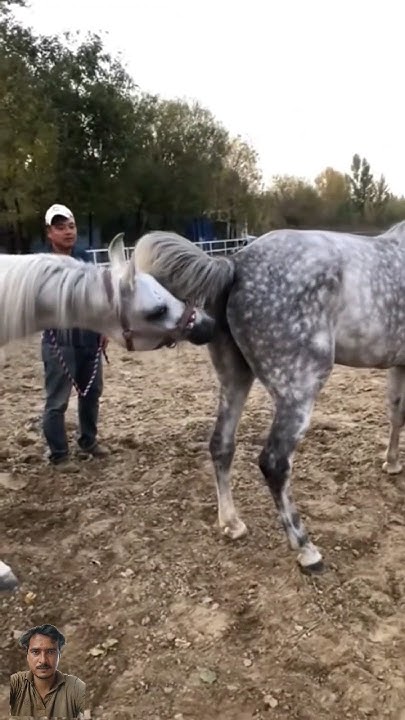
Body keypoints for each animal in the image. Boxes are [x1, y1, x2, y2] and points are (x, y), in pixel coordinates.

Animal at [133, 220, 405, 574]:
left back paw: (231, 523)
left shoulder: (399, 363)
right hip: (299, 390)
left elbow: (396, 412)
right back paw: (306, 550)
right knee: (274, 463)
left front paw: (392, 463)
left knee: (221, 445)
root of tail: (236, 265)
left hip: (235, 378)